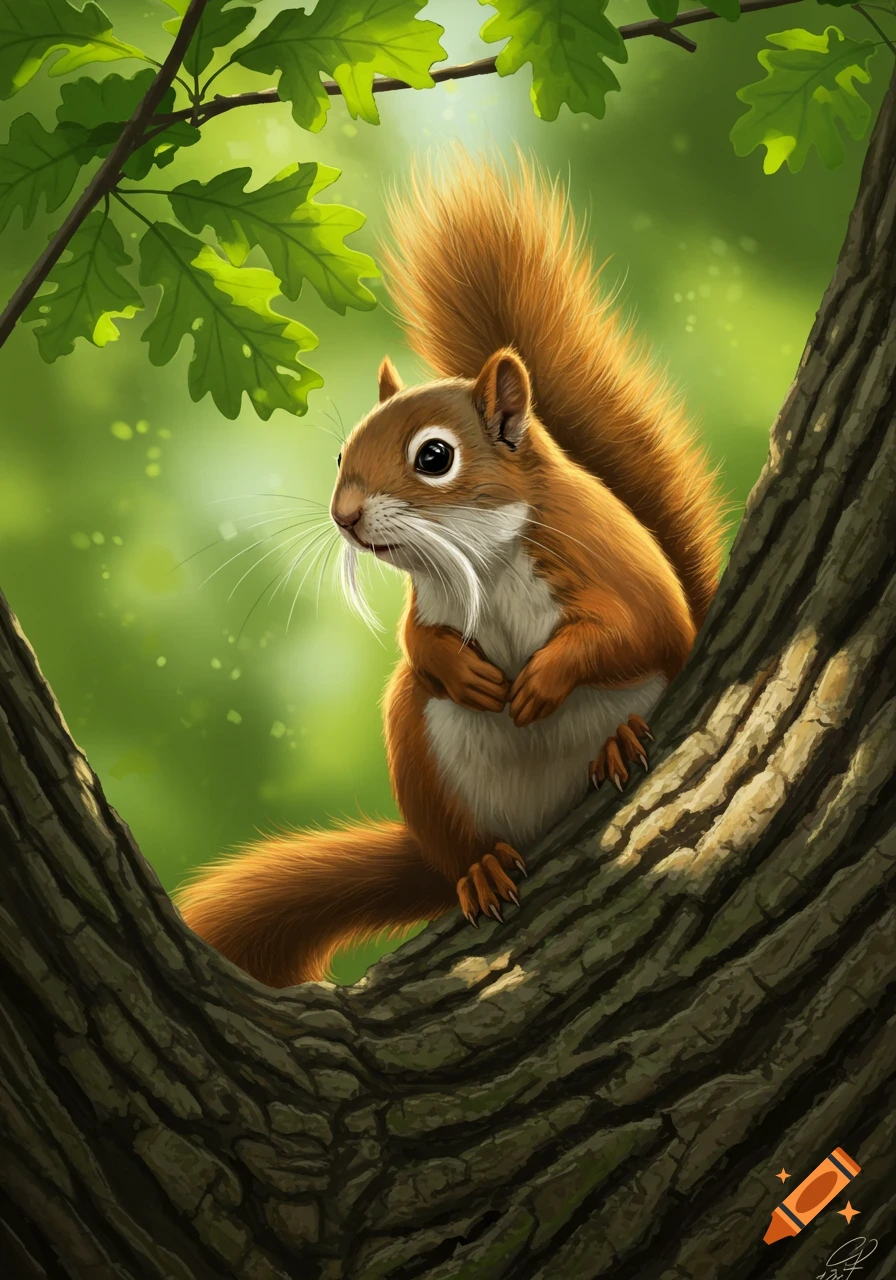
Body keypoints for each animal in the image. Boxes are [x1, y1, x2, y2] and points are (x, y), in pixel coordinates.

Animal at [176, 152, 727, 989]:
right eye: (342, 452)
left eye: (434, 456)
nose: (343, 515)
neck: (483, 557)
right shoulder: (427, 604)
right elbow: (416, 645)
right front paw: (465, 672)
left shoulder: (607, 561)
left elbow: (645, 628)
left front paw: (544, 678)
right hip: (423, 756)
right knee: (458, 830)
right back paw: (480, 871)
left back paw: (619, 741)